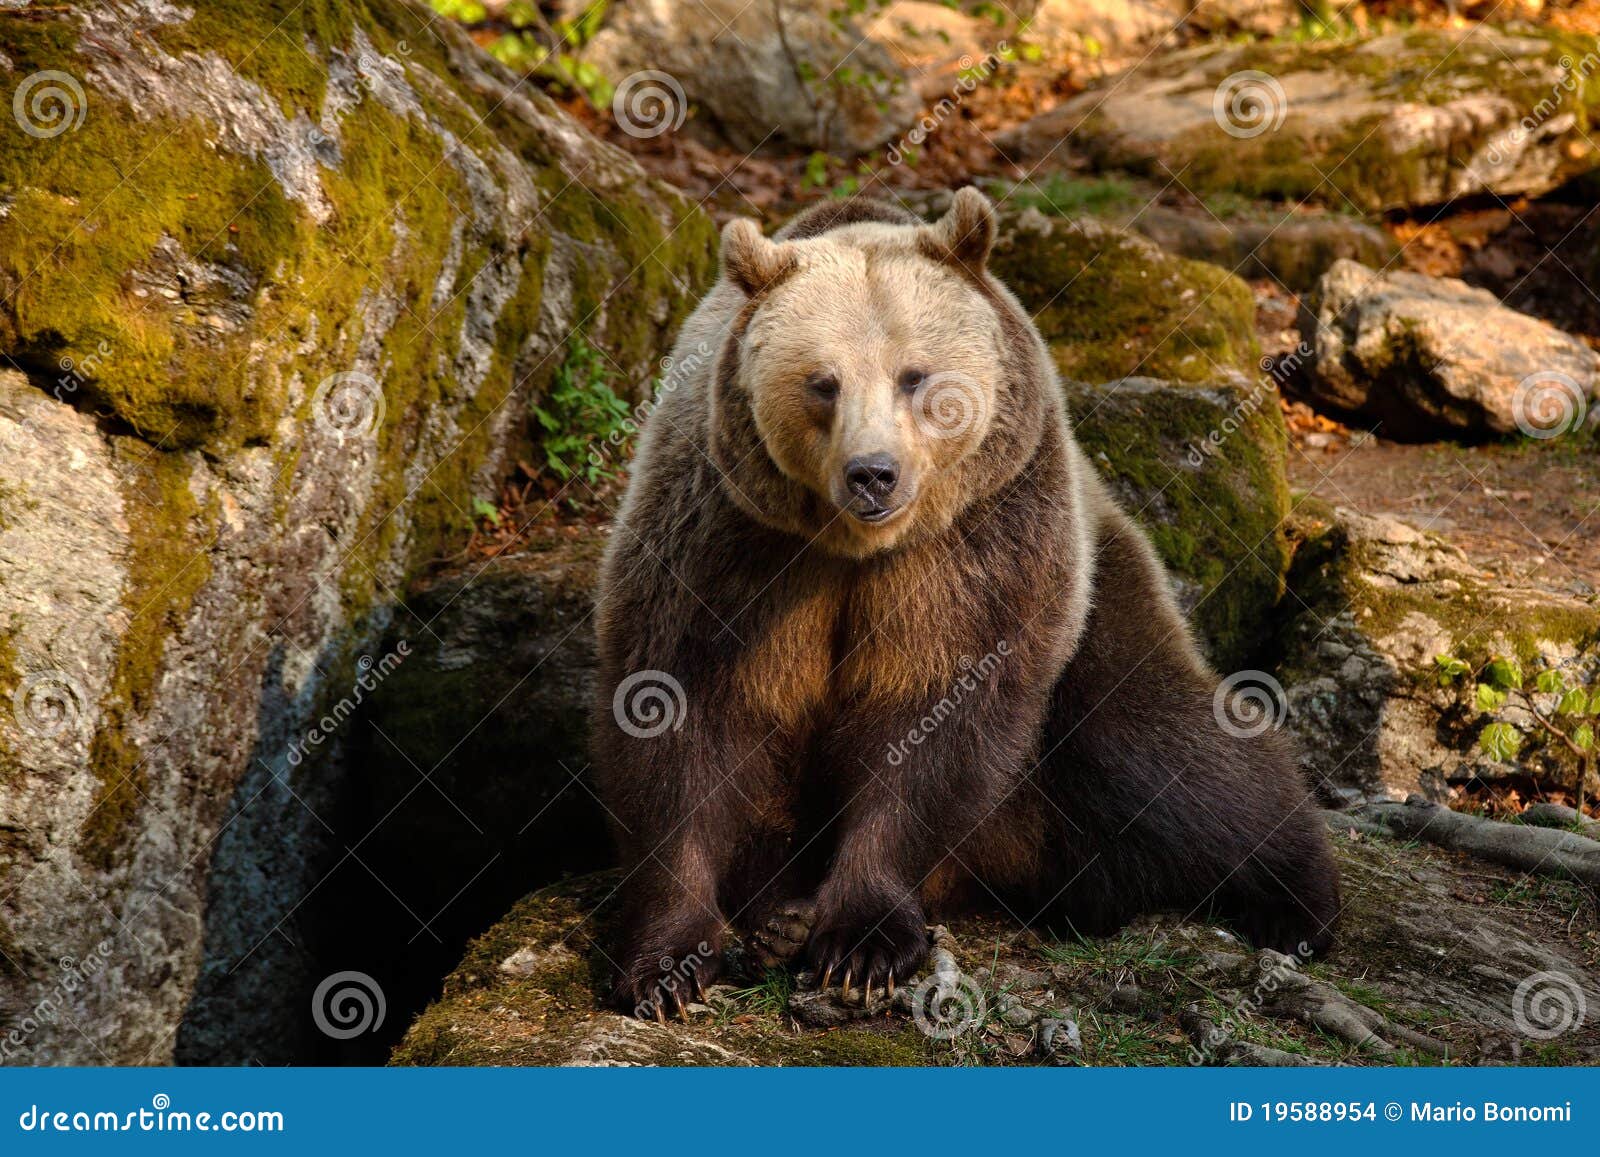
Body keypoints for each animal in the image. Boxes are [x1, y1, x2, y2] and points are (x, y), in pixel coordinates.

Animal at [592, 188, 1340, 1016]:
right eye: (823, 381)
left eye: (914, 375)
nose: (872, 473)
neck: (855, 548)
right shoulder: (731, 544)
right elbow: (685, 709)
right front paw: (668, 964)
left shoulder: (975, 548)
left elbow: (938, 714)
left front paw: (864, 944)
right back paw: (778, 920)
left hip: (1103, 606)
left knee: (1167, 756)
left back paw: (1298, 901)